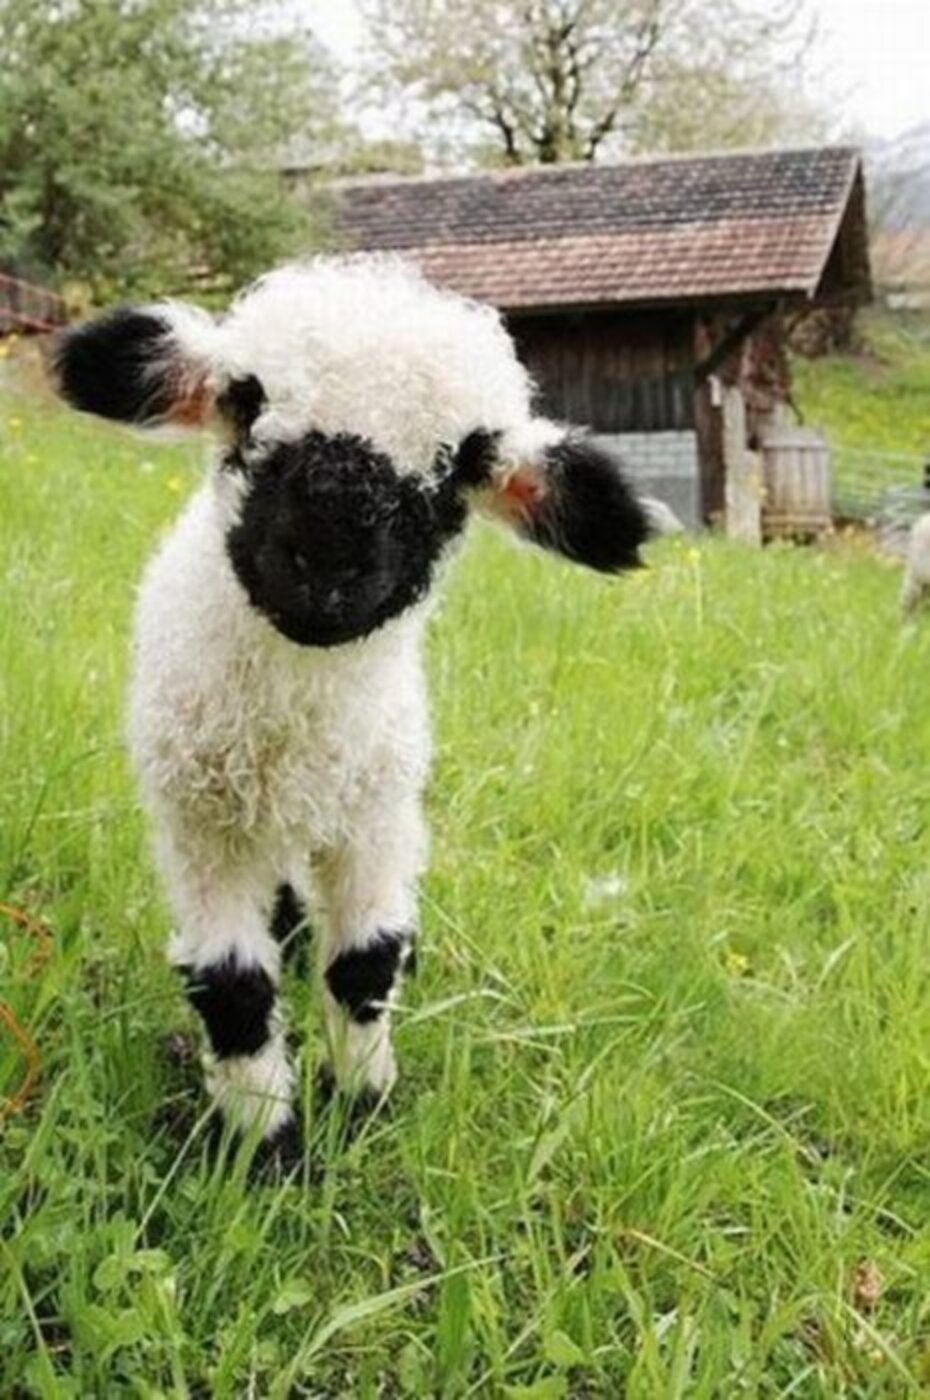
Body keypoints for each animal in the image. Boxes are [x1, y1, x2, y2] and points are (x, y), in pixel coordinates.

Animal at [53, 256, 652, 1160]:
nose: (327, 560)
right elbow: (233, 985)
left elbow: (364, 962)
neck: (295, 712)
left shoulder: (378, 814)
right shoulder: (201, 823)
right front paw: (262, 1142)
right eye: (245, 401)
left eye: (463, 467)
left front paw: (363, 1101)